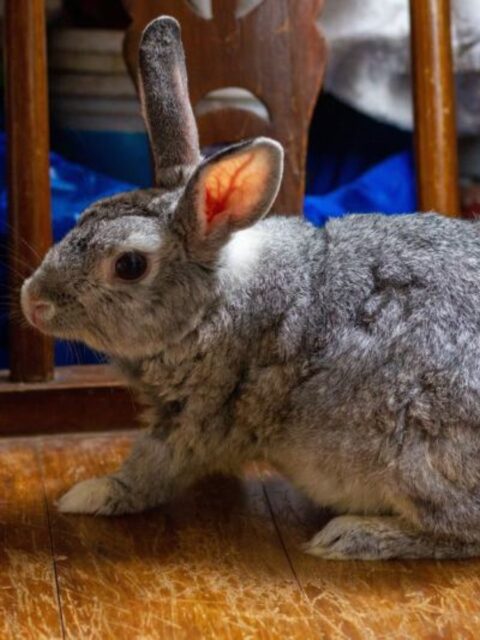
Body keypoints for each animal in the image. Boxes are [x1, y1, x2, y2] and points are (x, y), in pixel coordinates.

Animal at [19, 15, 480, 561]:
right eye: (85, 214)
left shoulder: (196, 419)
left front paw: (87, 494)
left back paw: (352, 535)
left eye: (129, 265)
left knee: (458, 529)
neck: (216, 303)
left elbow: (148, 470)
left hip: (414, 453)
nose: (33, 301)